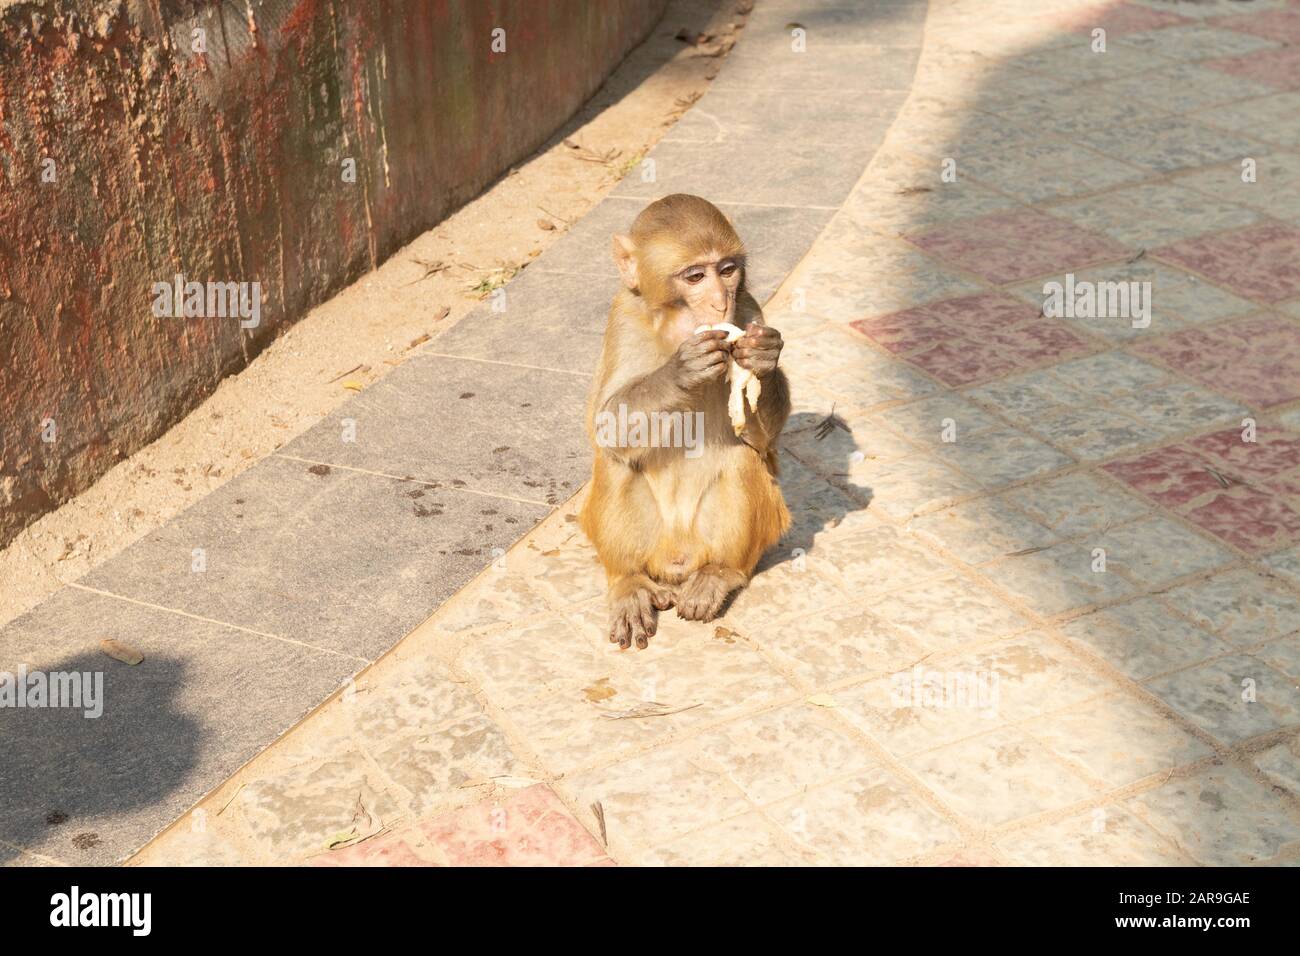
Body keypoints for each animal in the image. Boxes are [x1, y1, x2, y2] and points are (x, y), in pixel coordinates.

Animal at [579, 194, 791, 650]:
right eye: (695, 276)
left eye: (727, 270)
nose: (720, 302)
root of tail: (676, 560)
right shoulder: (623, 316)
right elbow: (605, 424)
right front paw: (682, 371)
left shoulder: (750, 310)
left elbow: (761, 441)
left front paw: (763, 359)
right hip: (653, 547)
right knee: (616, 462)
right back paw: (629, 582)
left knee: (742, 458)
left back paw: (720, 574)